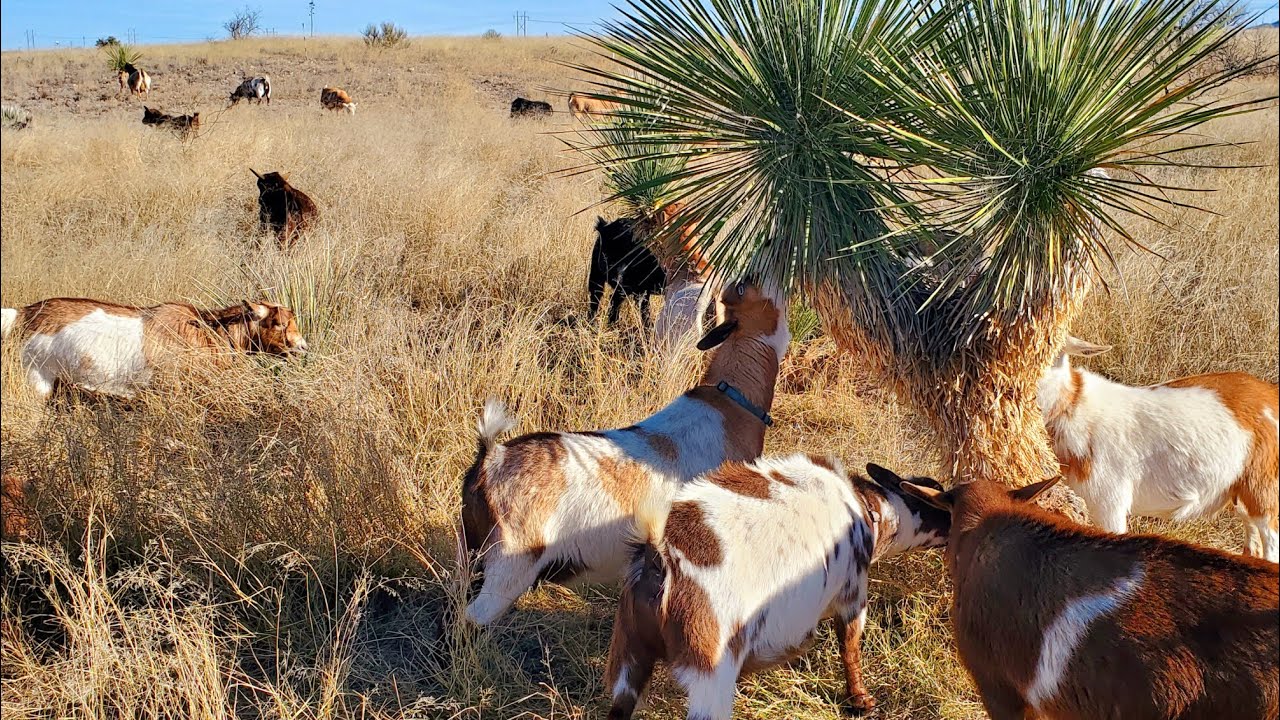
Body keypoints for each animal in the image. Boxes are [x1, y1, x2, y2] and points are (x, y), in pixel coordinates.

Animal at [605, 459, 949, 720]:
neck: (870, 510)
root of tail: (660, 557)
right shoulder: (852, 593)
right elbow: (850, 647)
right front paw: (861, 701)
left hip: (629, 654)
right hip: (709, 668)